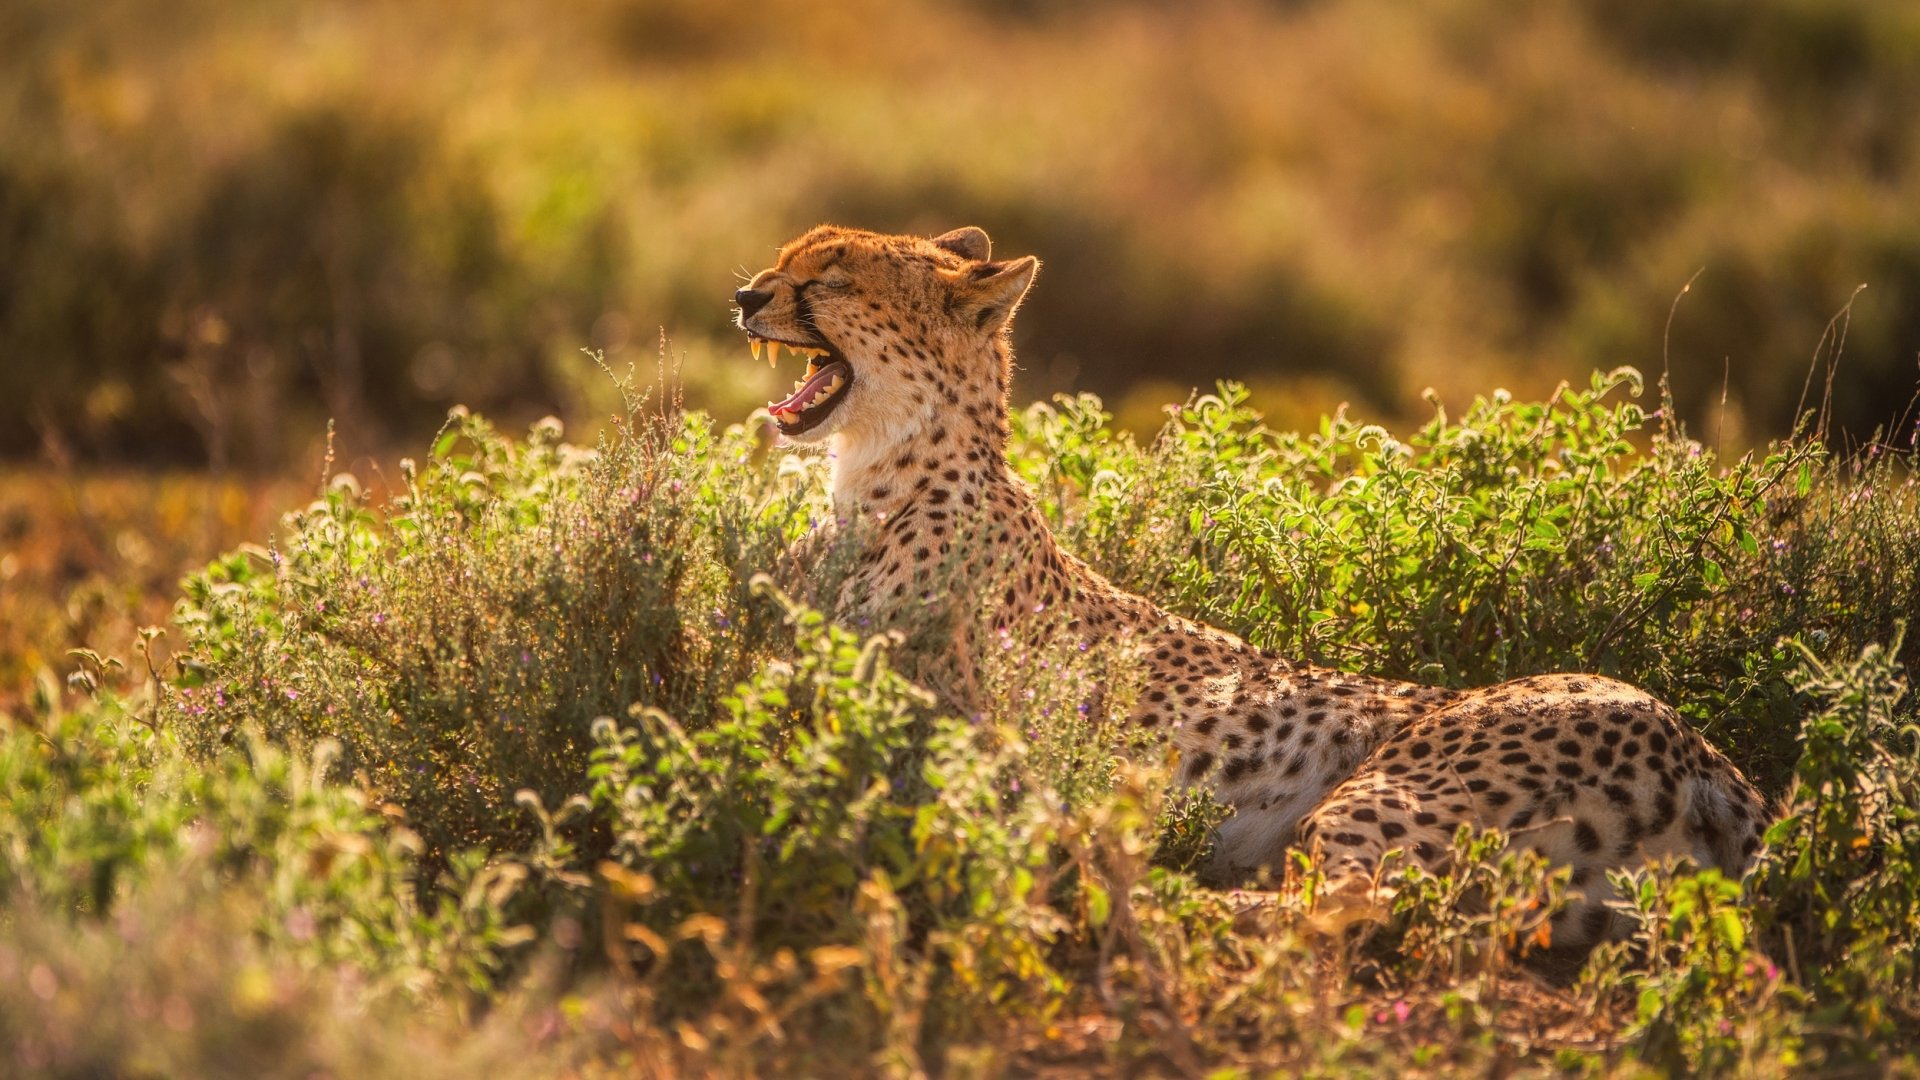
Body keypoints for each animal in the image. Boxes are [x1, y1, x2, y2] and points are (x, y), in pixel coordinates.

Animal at [731, 223, 1771, 947]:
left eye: (830, 277)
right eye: (782, 261)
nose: (745, 294)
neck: (887, 472)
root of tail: (1698, 747)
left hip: (1382, 795)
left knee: (1351, 903)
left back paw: (1155, 892)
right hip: (1589, 896)